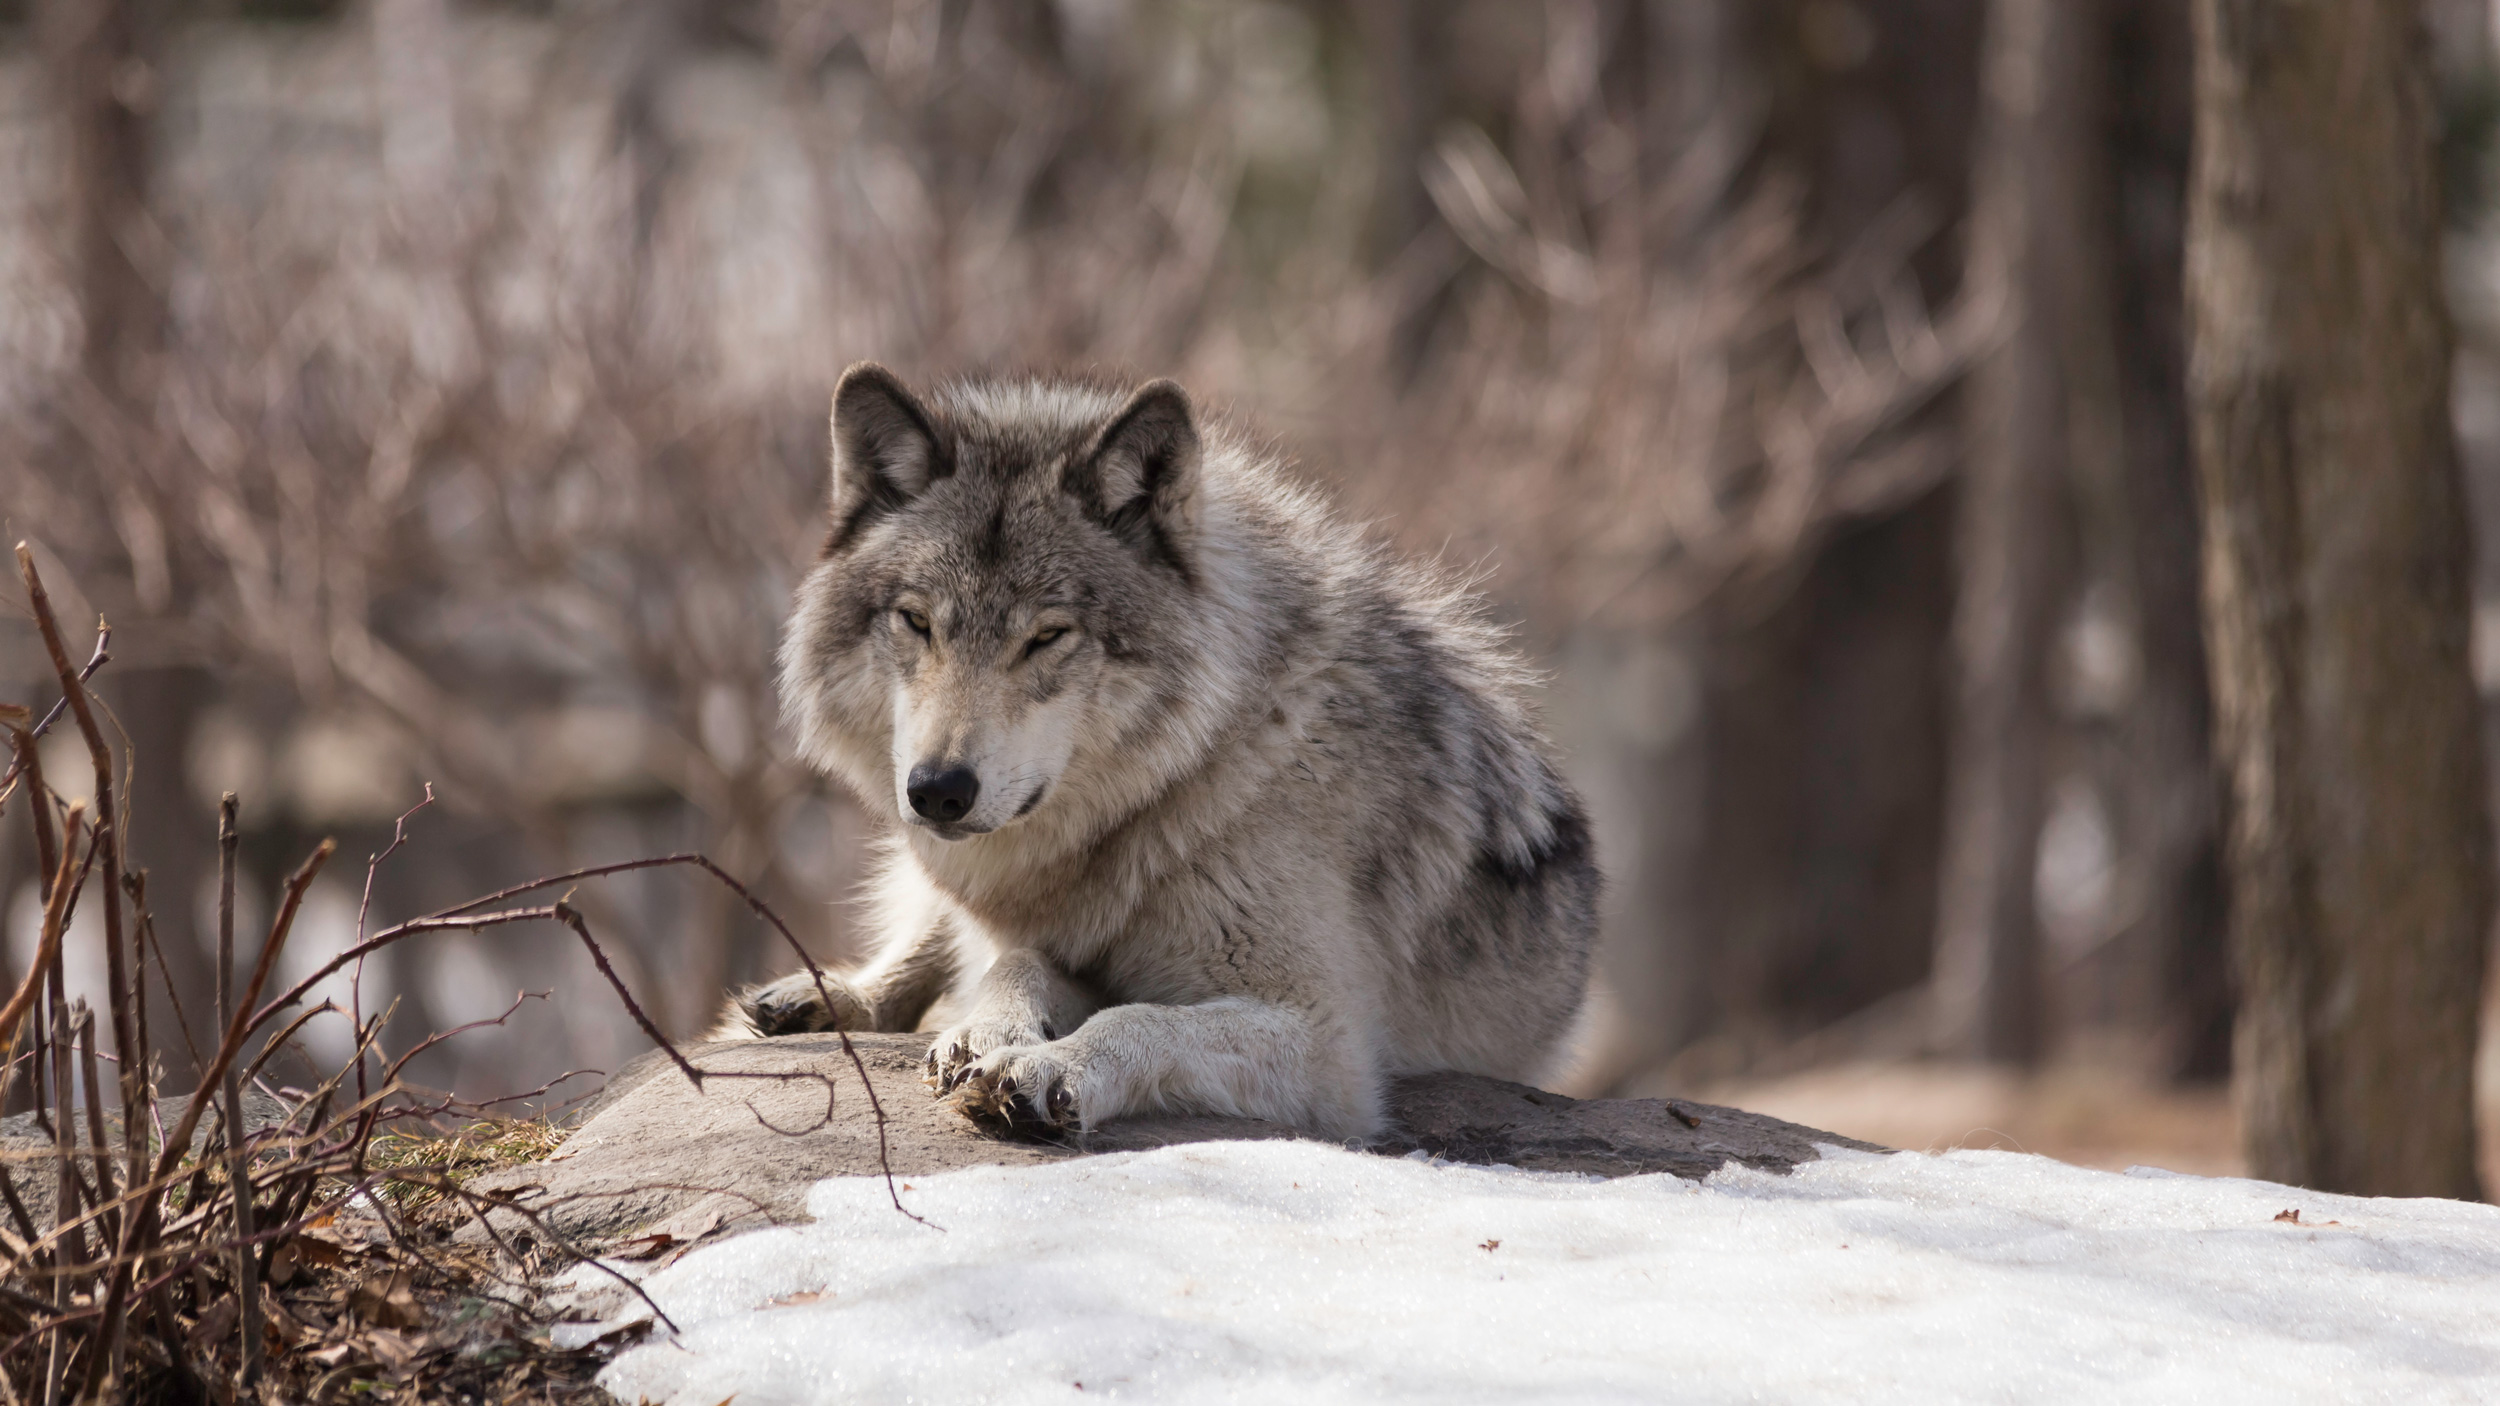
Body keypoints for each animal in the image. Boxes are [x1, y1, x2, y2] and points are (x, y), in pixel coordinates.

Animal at [720, 363, 1598, 1140]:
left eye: (1047, 636)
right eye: (916, 621)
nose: (938, 789)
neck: (1188, 781)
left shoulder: (1327, 1044)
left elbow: (1137, 1016)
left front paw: (1047, 1067)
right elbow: (1015, 963)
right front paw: (990, 1030)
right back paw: (823, 997)